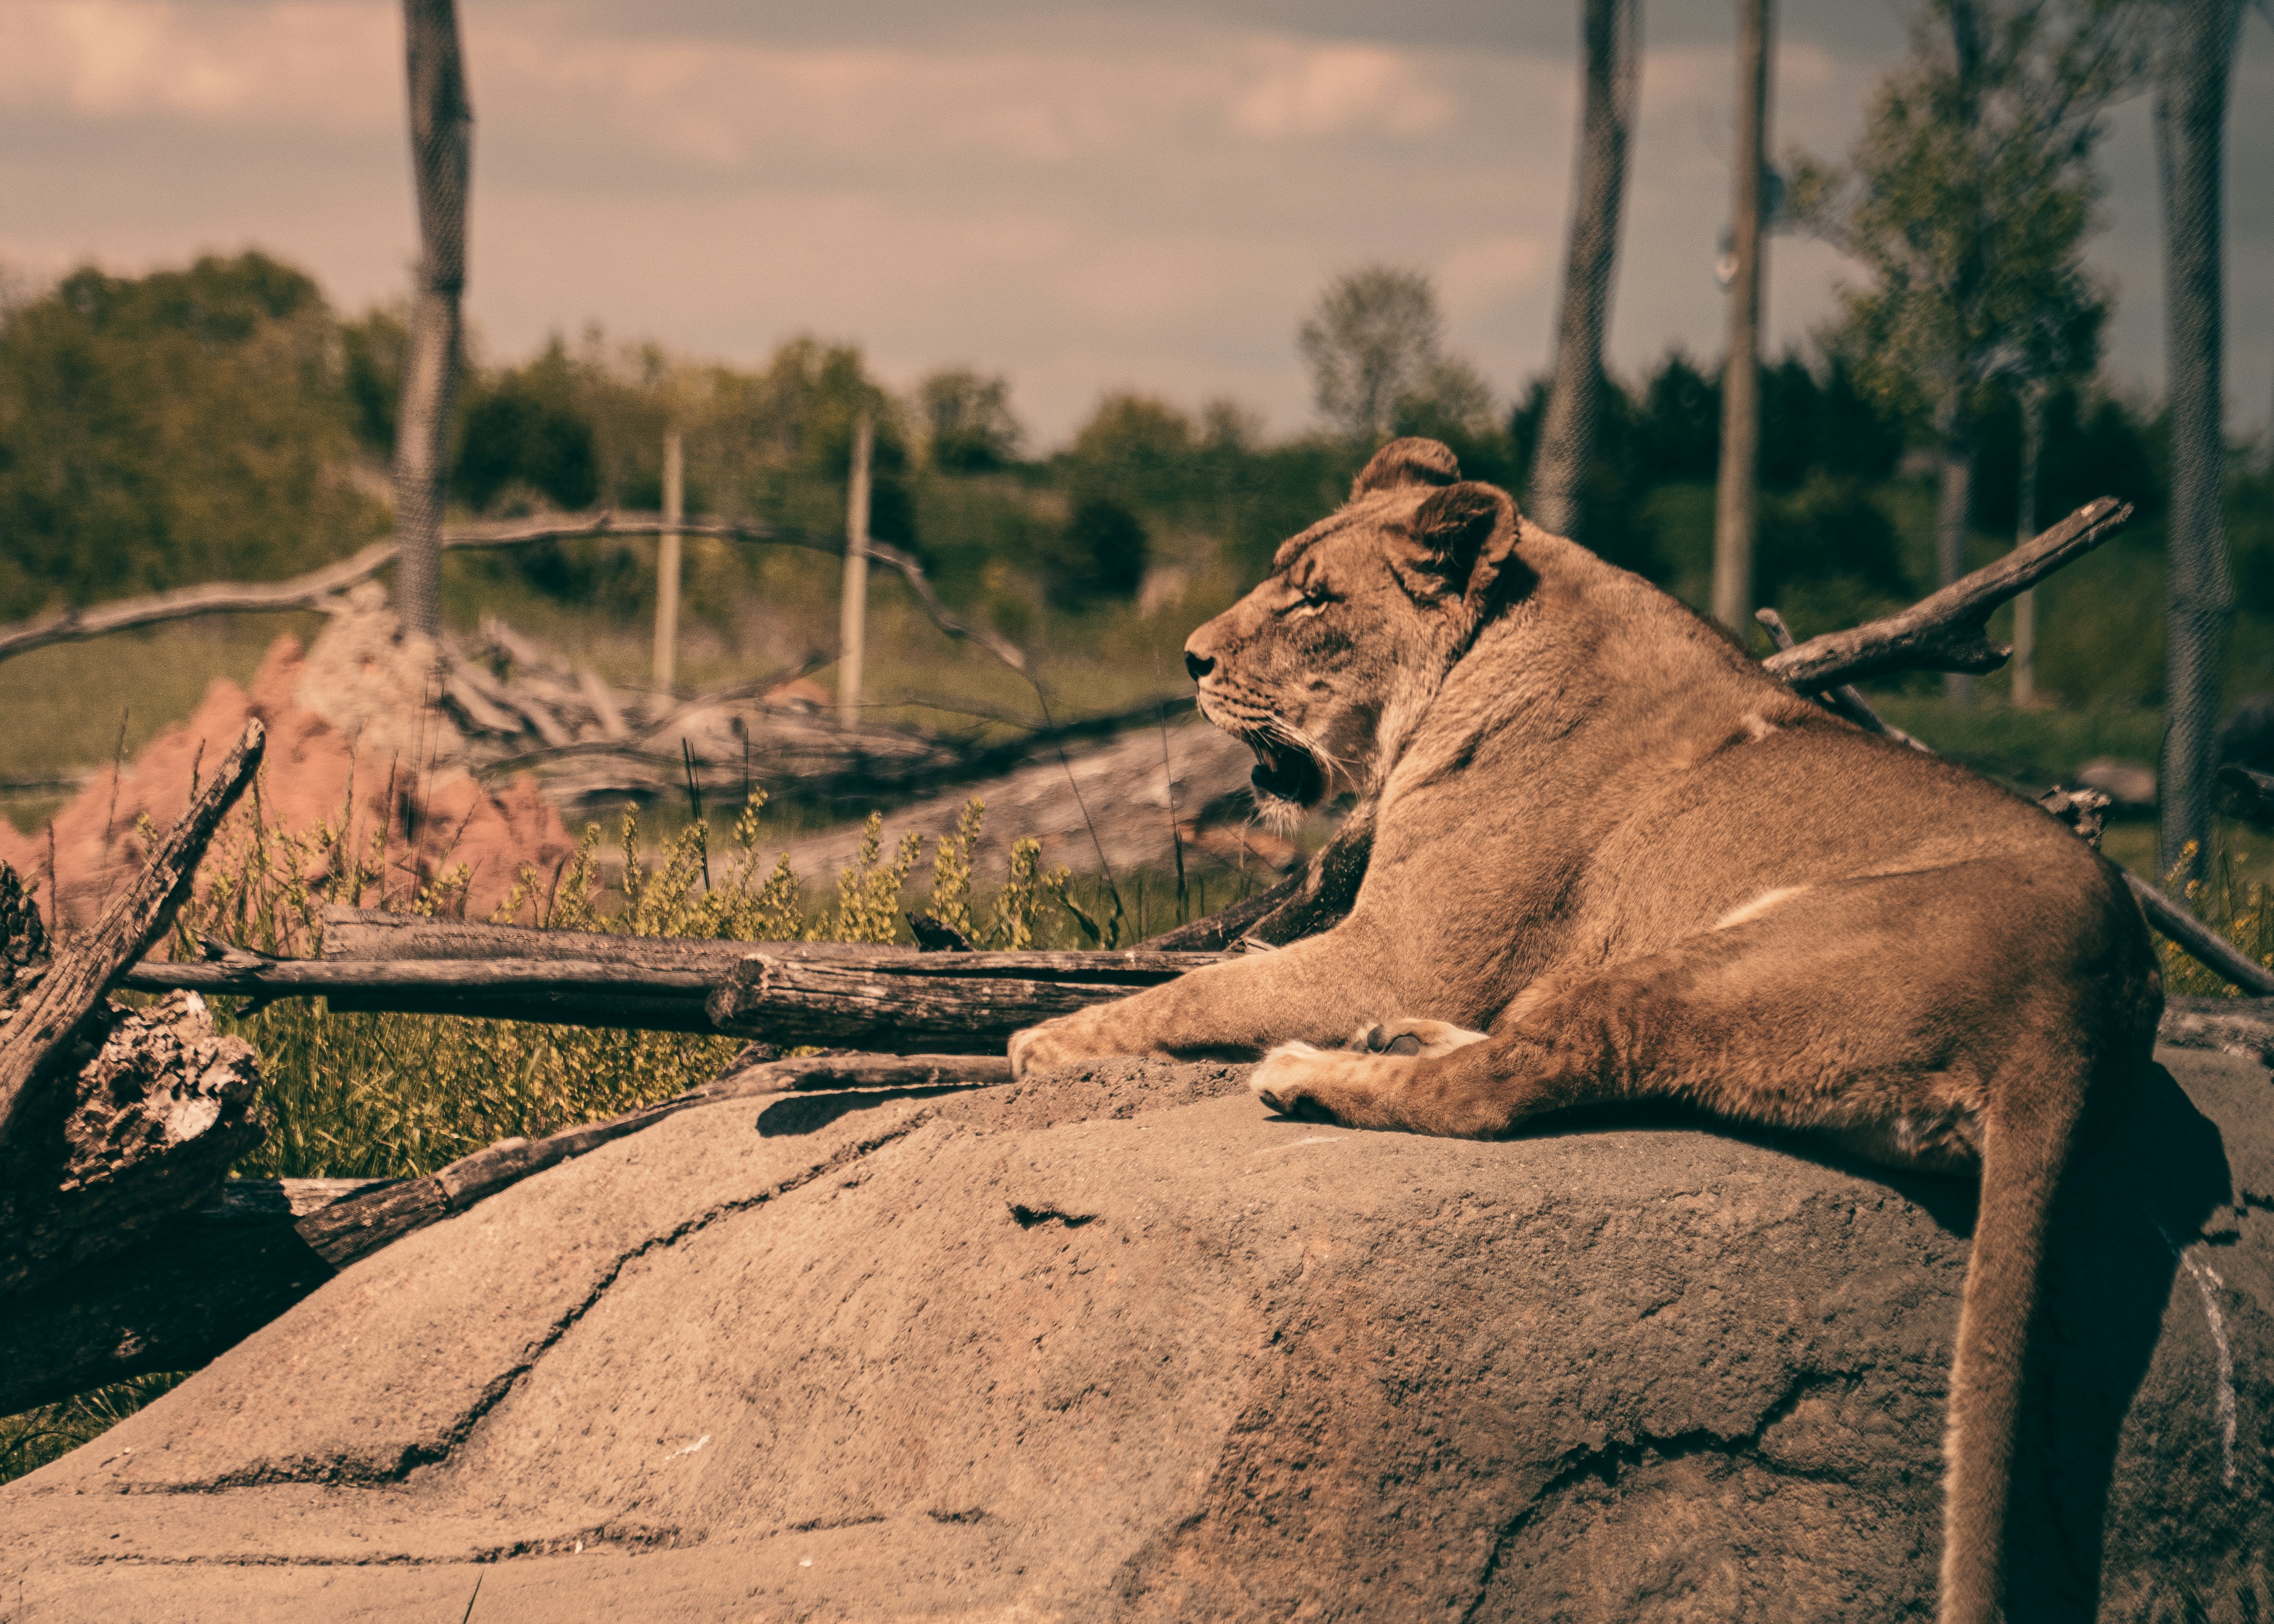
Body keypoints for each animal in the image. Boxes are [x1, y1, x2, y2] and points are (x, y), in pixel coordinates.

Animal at [1008, 437, 2162, 1624]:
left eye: (1316, 598)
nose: (1189, 659)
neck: (1498, 645)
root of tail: (2084, 1008)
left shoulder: (1403, 948)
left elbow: (1194, 993)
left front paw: (1043, 1043)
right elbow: (1209, 976)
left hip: (1718, 954)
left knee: (1510, 1080)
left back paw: (1310, 1074)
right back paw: (1389, 1041)